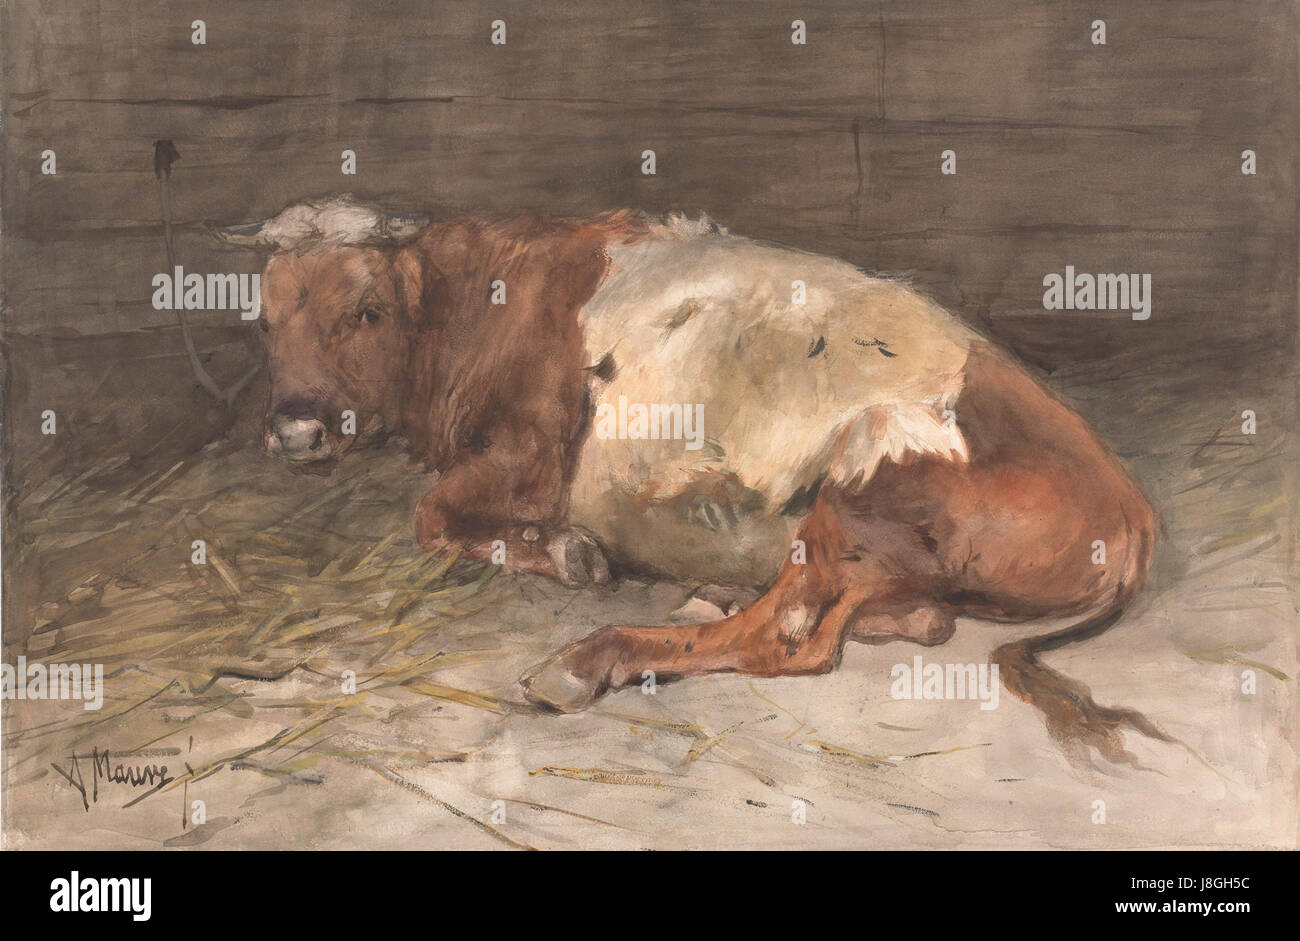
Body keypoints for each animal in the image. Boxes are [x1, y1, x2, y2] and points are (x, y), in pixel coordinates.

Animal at [216, 196, 1164, 764]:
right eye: (262, 321)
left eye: (366, 311)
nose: (294, 428)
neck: (493, 299)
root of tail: (1129, 504)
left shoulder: (526, 458)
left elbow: (433, 517)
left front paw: (570, 555)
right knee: (907, 618)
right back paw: (715, 592)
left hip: (862, 479)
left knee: (789, 638)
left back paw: (587, 658)